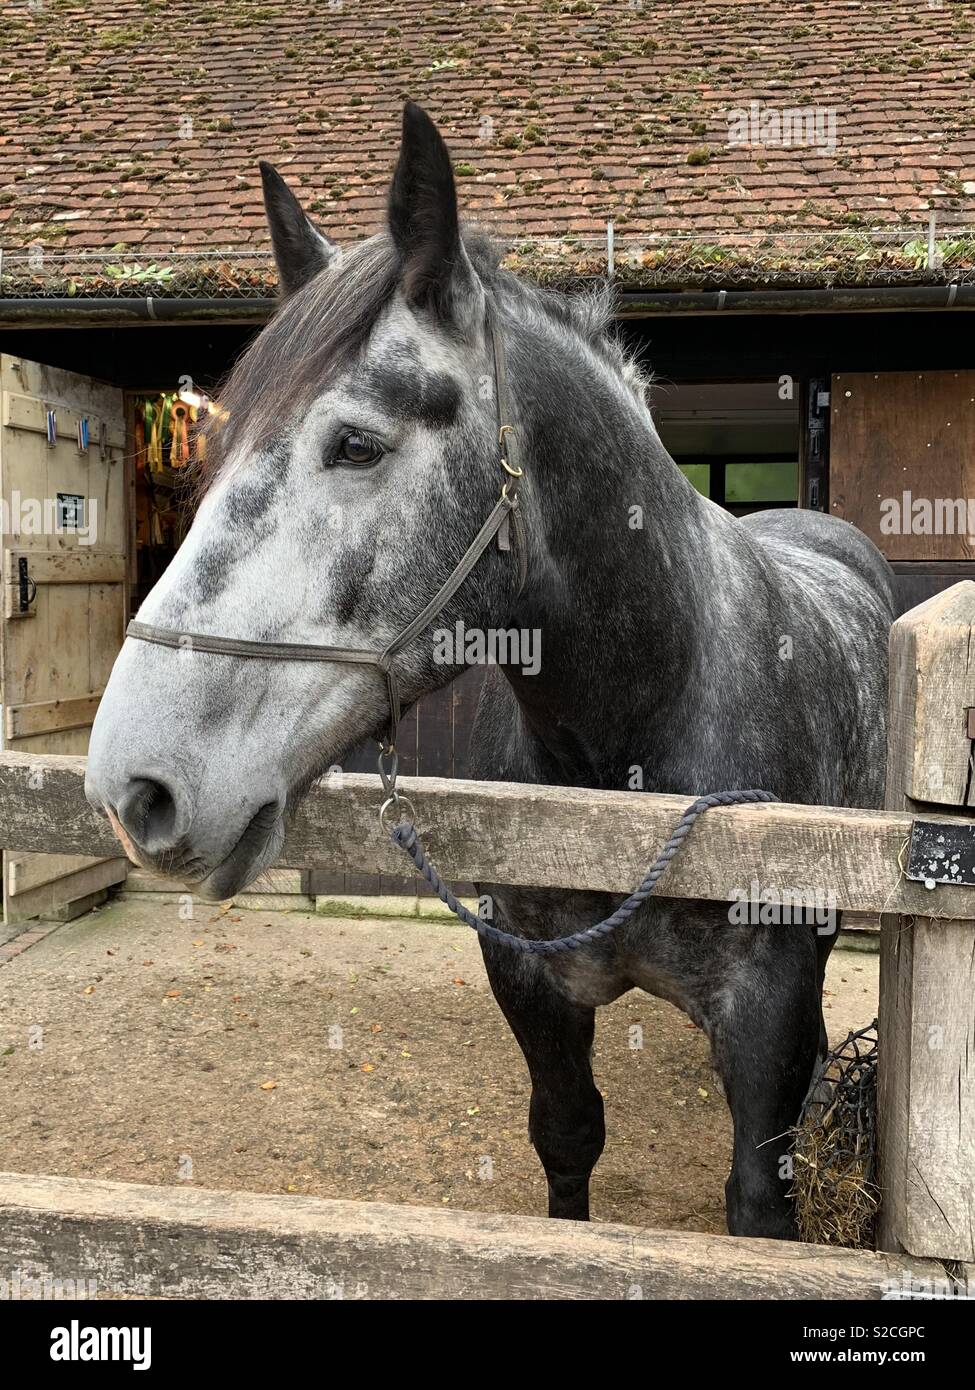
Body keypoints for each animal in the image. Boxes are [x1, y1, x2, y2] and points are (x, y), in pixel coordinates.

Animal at [86, 102, 896, 1238]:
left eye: (356, 444)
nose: (135, 788)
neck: (632, 754)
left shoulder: (767, 1012)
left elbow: (755, 1199)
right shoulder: (526, 974)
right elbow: (567, 1139)